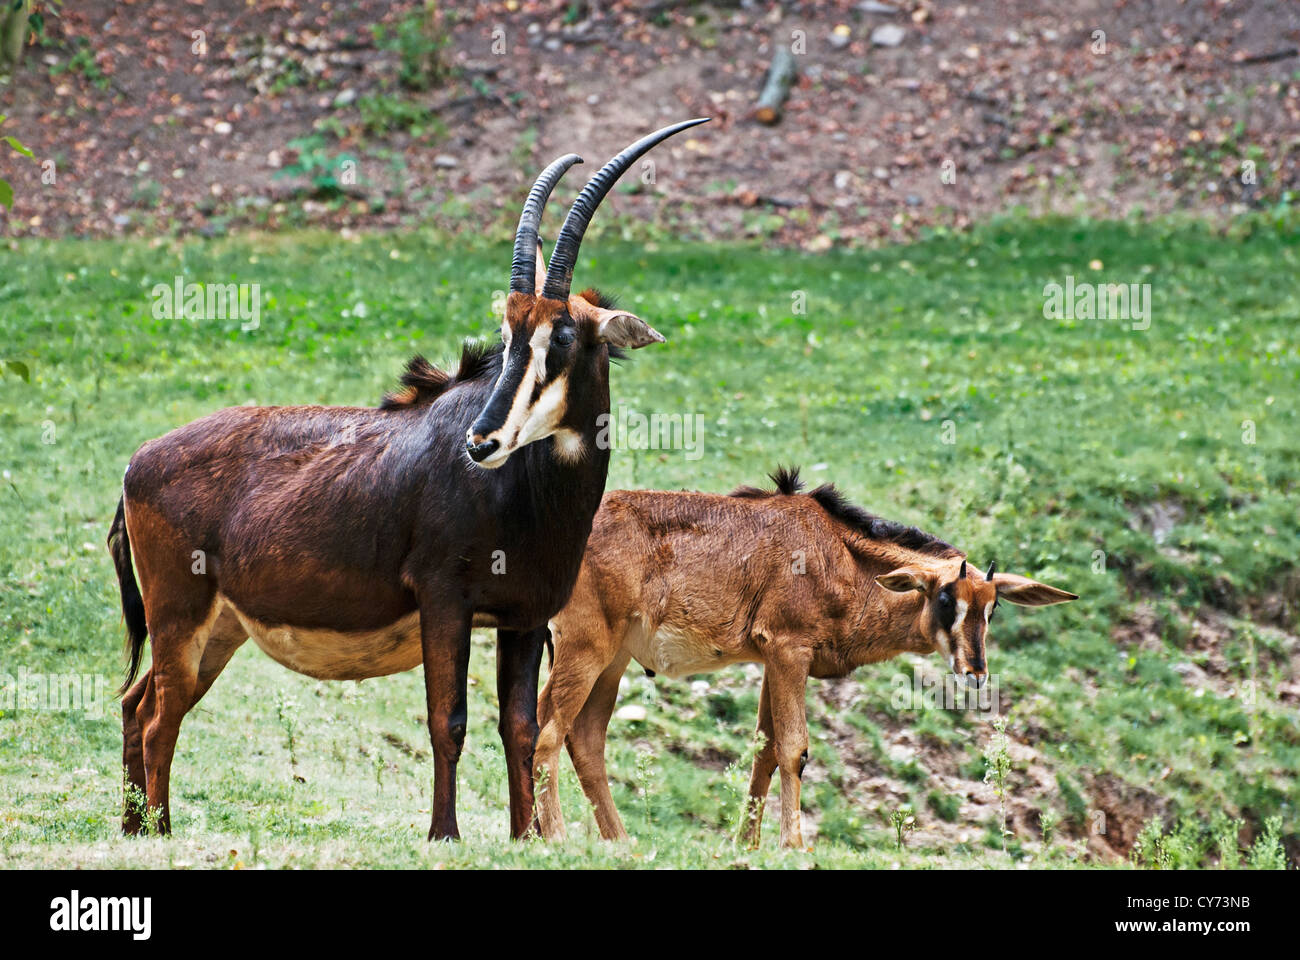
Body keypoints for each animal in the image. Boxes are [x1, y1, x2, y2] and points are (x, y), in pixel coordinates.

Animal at [106, 118, 708, 840]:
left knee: (137, 704)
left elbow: (519, 728)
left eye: (561, 336)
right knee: (158, 715)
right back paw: (160, 832)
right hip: (180, 613)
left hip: (220, 627)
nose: (481, 441)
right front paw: (444, 833)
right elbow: (448, 721)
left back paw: (135, 829)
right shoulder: (445, 601)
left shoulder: (525, 616)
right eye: (508, 334)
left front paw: (520, 838)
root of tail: (138, 462)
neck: (528, 497)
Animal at [534, 467, 1077, 848]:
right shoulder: (788, 651)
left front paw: (747, 844)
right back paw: (555, 836)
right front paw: (793, 844)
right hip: (586, 647)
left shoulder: (772, 662)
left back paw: (616, 841)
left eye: (992, 606)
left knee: (584, 737)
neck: (839, 554)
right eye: (945, 598)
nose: (975, 672)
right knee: (549, 730)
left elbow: (765, 750)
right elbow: (794, 749)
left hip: (613, 660)